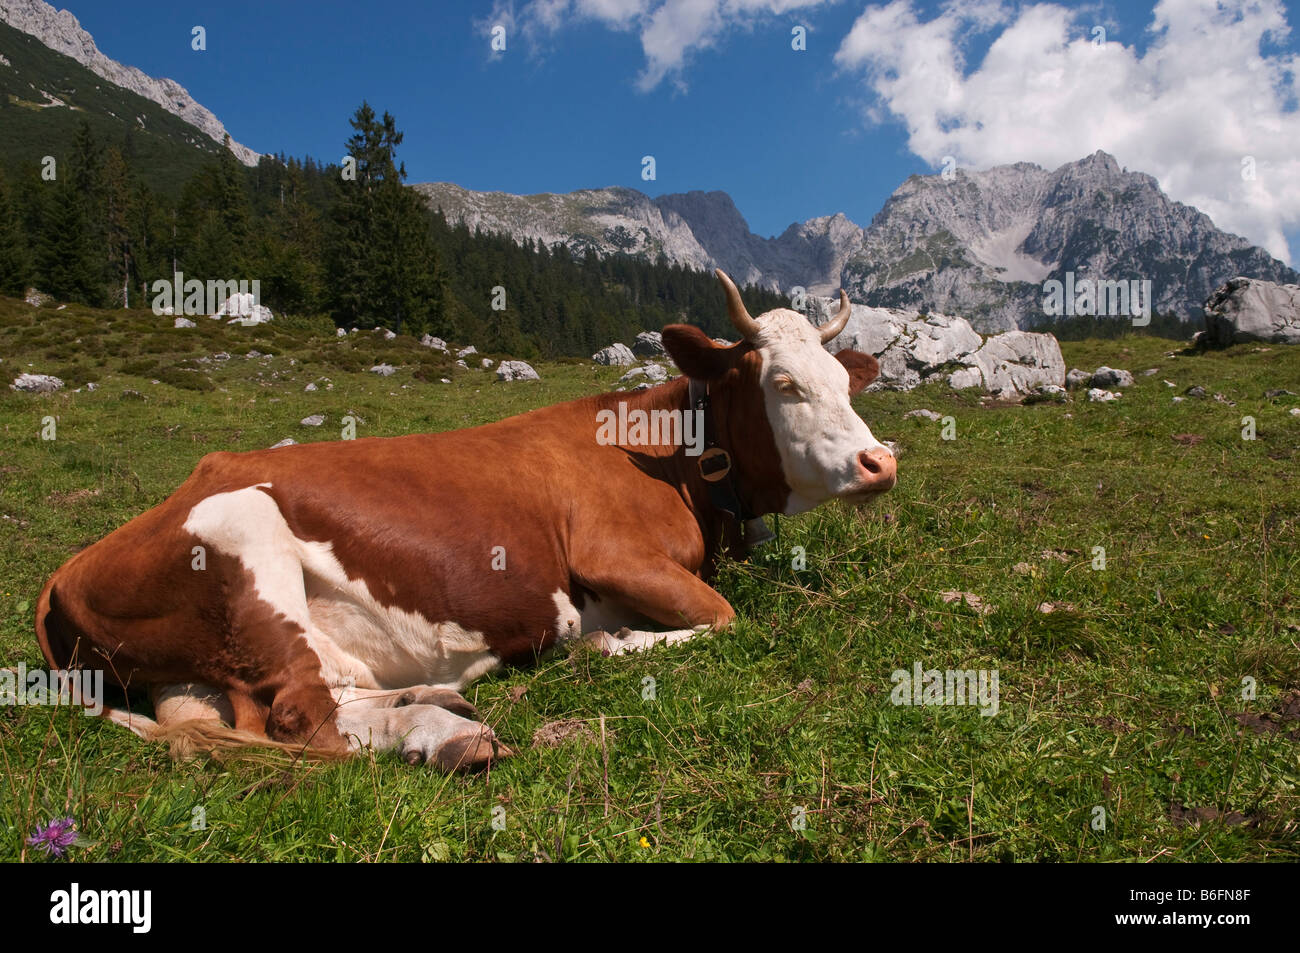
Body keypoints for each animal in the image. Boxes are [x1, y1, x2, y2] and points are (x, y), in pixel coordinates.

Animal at [34, 270, 896, 770]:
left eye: (843, 382)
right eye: (785, 384)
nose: (878, 462)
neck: (669, 457)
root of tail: (65, 569)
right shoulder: (613, 555)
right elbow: (722, 618)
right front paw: (609, 644)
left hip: (199, 663)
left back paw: (436, 710)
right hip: (246, 543)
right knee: (302, 719)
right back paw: (445, 735)